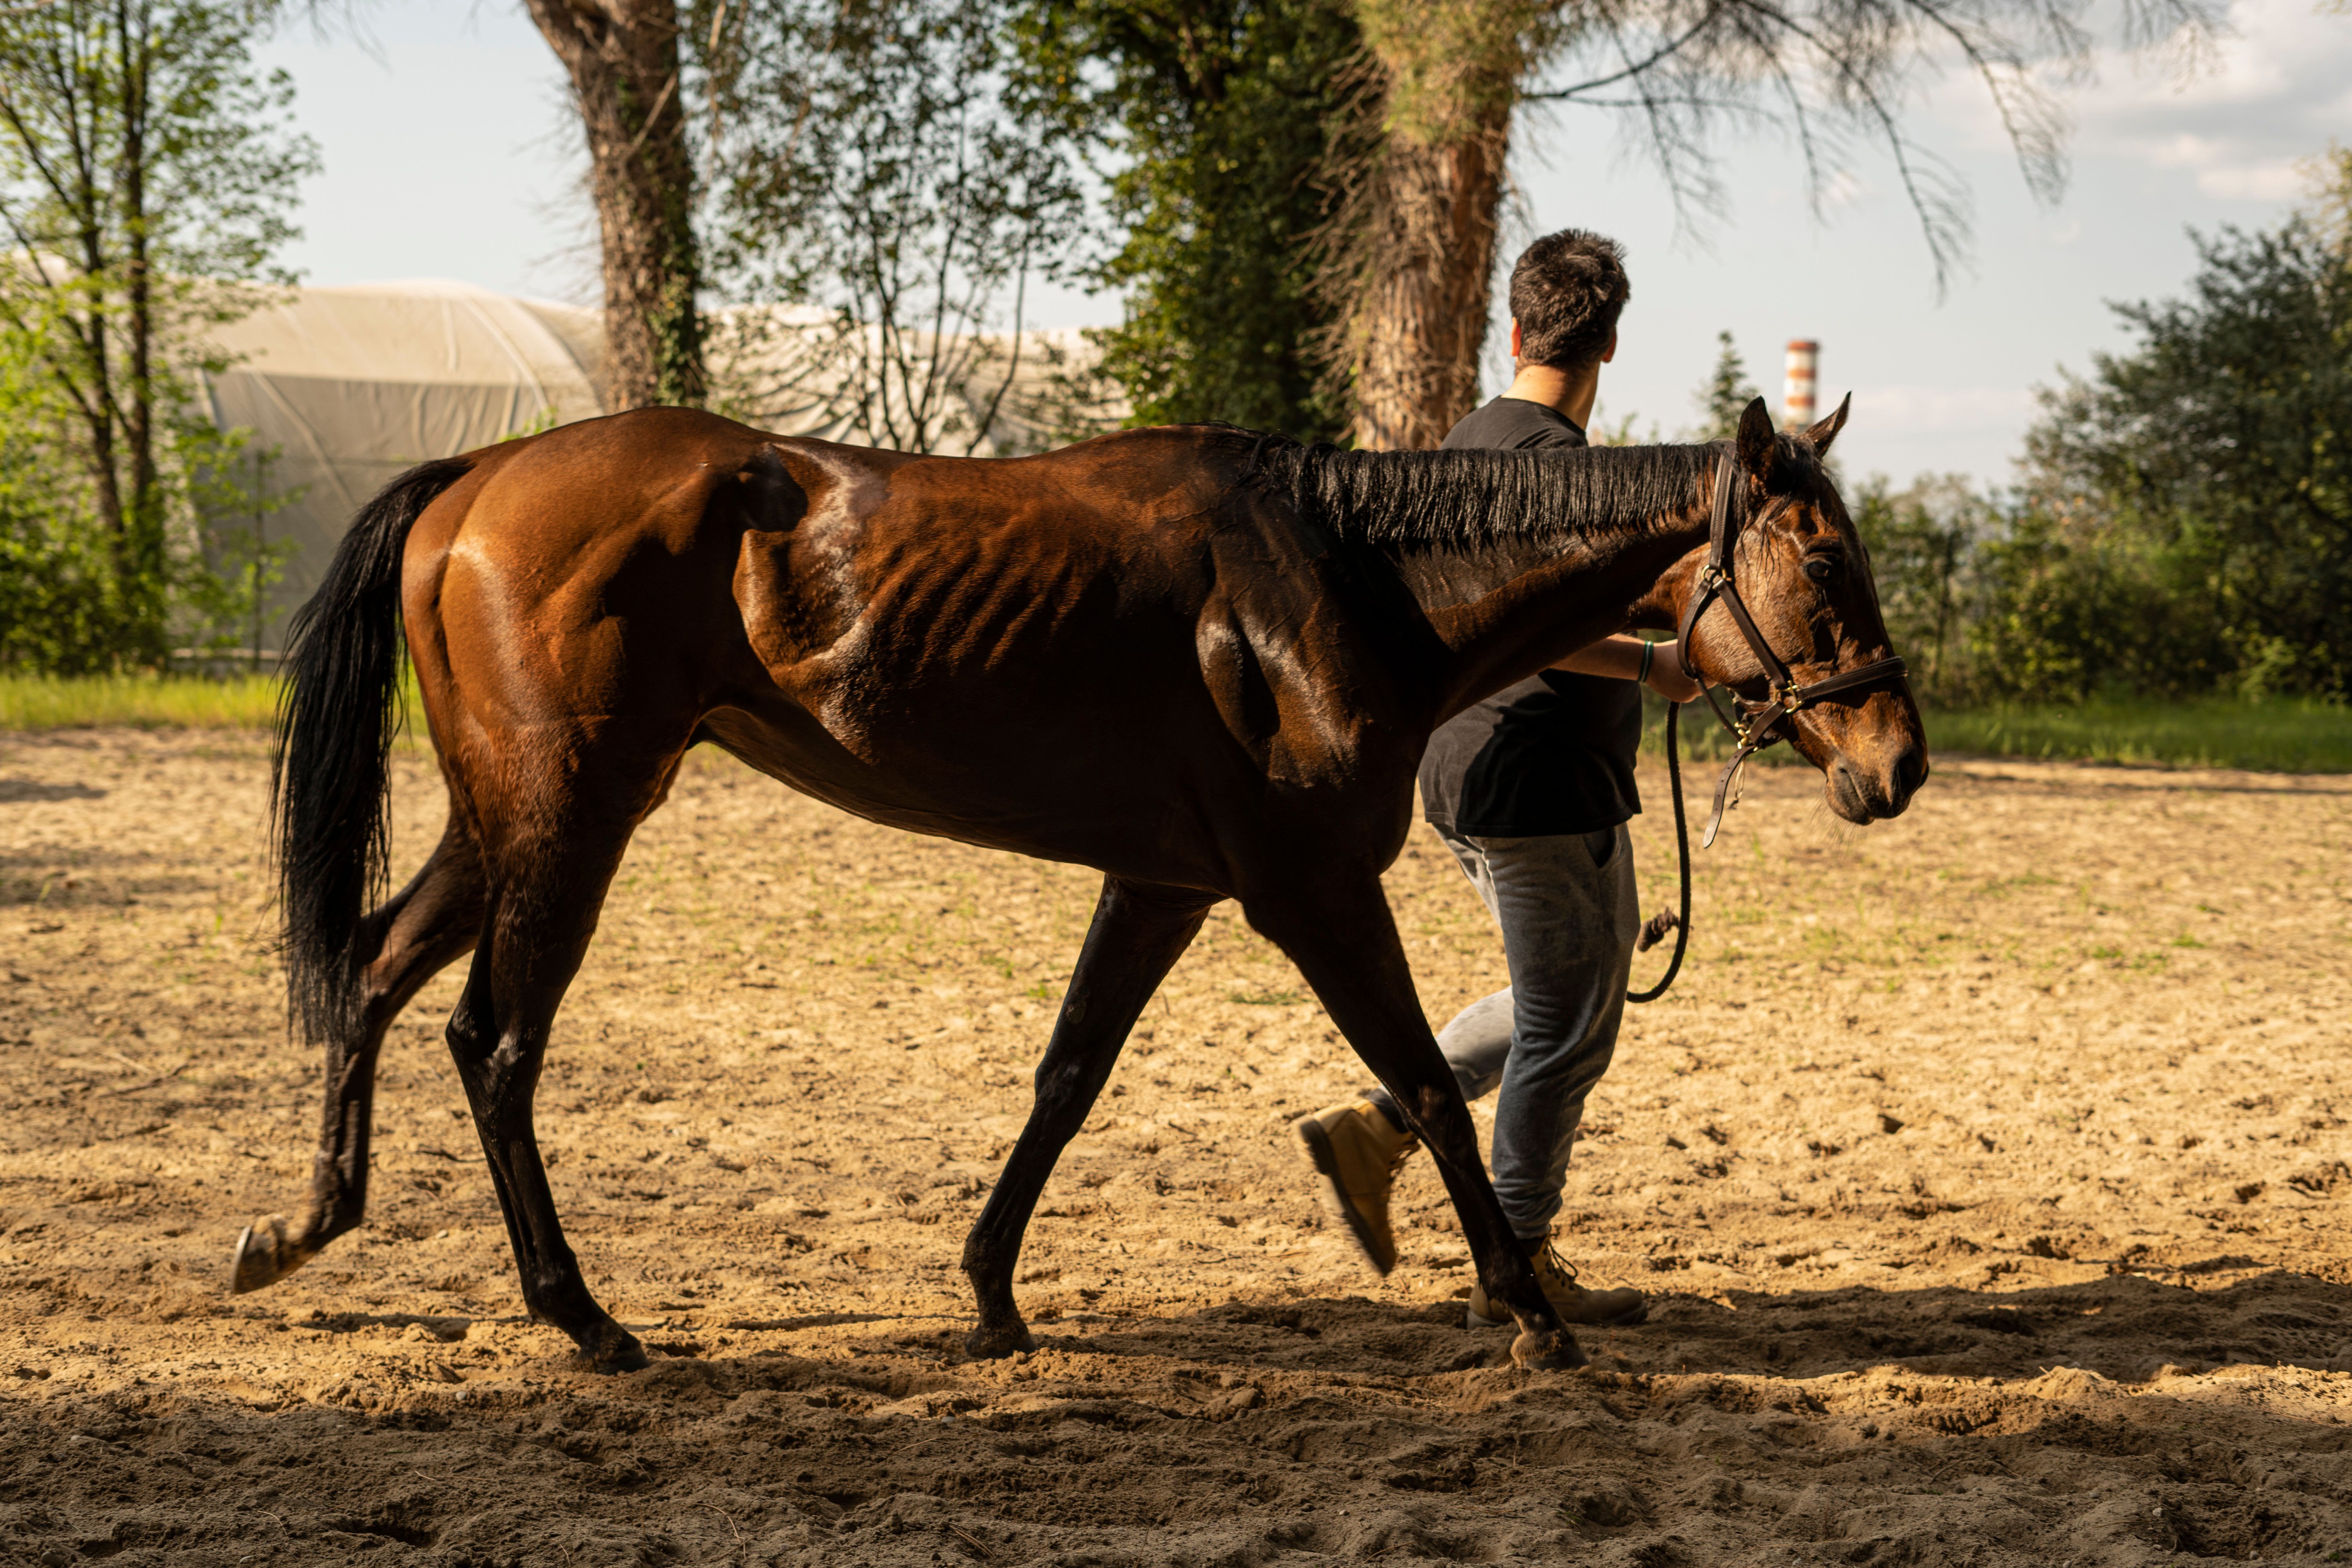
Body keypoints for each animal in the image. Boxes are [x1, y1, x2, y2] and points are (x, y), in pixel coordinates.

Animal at [231, 394, 1926, 1375]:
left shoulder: (1161, 885)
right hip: (569, 821)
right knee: (496, 1044)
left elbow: (1065, 1080)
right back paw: (579, 1314)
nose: (1898, 762)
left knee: (376, 975)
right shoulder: (1312, 892)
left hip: (510, 819)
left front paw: (990, 1294)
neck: (1343, 582)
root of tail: (480, 480)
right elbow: (1431, 1093)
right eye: (1824, 564)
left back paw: (305, 1225)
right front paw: (1528, 1303)